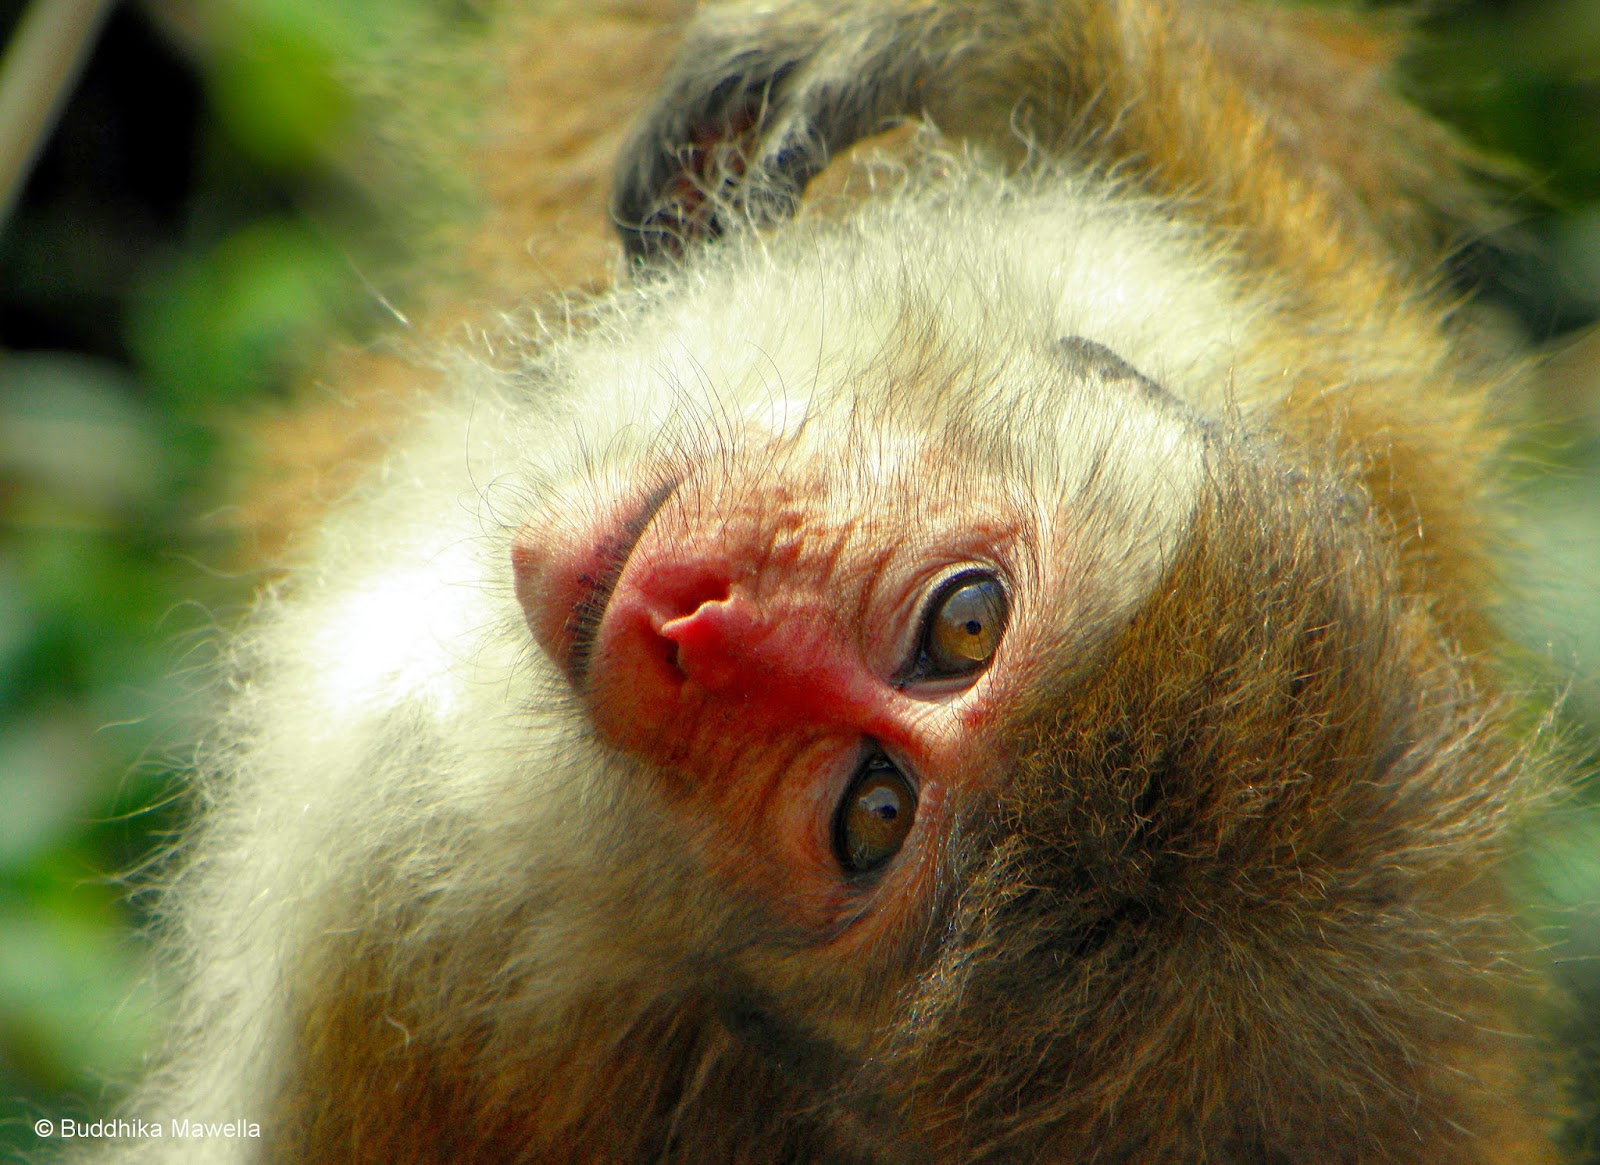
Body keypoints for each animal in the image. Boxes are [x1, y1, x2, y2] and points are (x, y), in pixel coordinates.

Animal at [85, 0, 1562, 1161]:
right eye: (966, 621)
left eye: (871, 815)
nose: (693, 623)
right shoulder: (1363, 443)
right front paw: (990, 45)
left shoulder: (428, 1039)